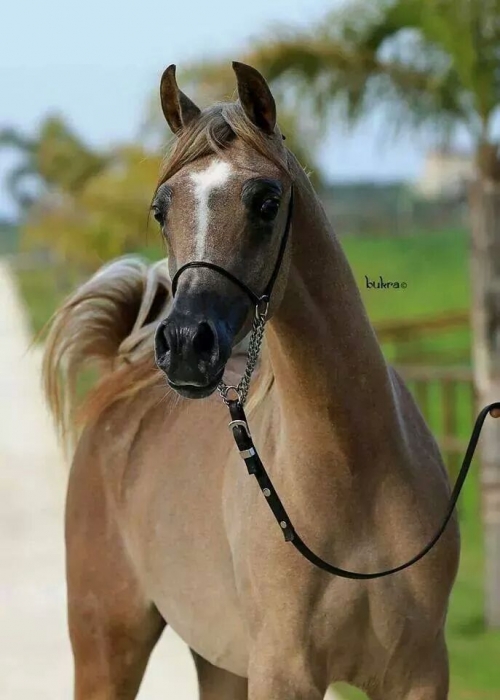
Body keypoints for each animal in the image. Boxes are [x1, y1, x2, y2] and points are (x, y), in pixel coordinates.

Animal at [44, 61, 460, 700]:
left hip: (218, 660)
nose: (185, 346)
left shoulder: (417, 674)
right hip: (106, 643)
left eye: (267, 202)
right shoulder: (282, 671)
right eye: (161, 209)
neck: (354, 480)